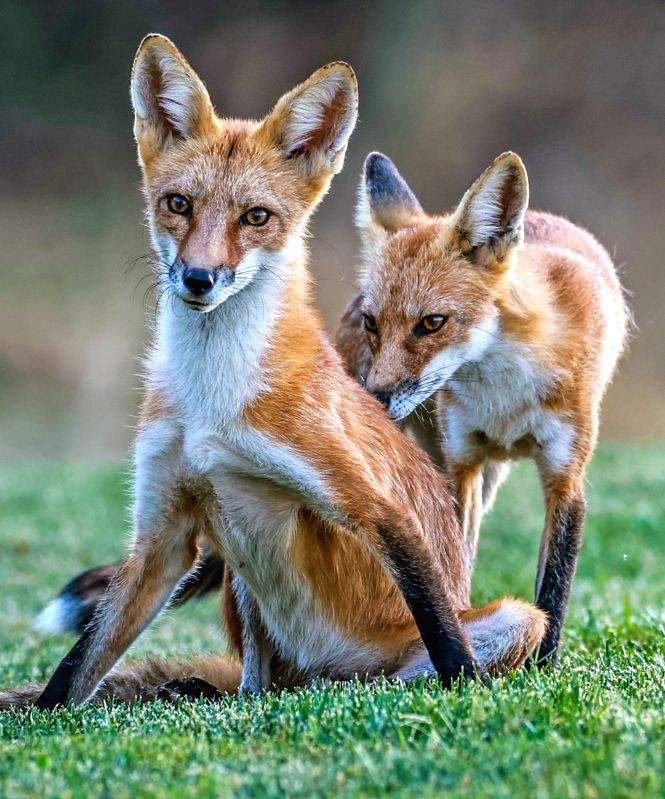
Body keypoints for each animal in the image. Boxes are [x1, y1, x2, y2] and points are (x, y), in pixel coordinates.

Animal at [0, 35, 546, 710]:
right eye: (178, 204)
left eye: (256, 217)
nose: (199, 279)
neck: (214, 401)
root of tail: (326, 674)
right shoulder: (164, 537)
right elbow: (74, 670)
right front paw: (43, 717)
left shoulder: (375, 505)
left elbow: (446, 638)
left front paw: (465, 700)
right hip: (247, 604)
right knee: (254, 685)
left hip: (517, 620)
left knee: (407, 669)